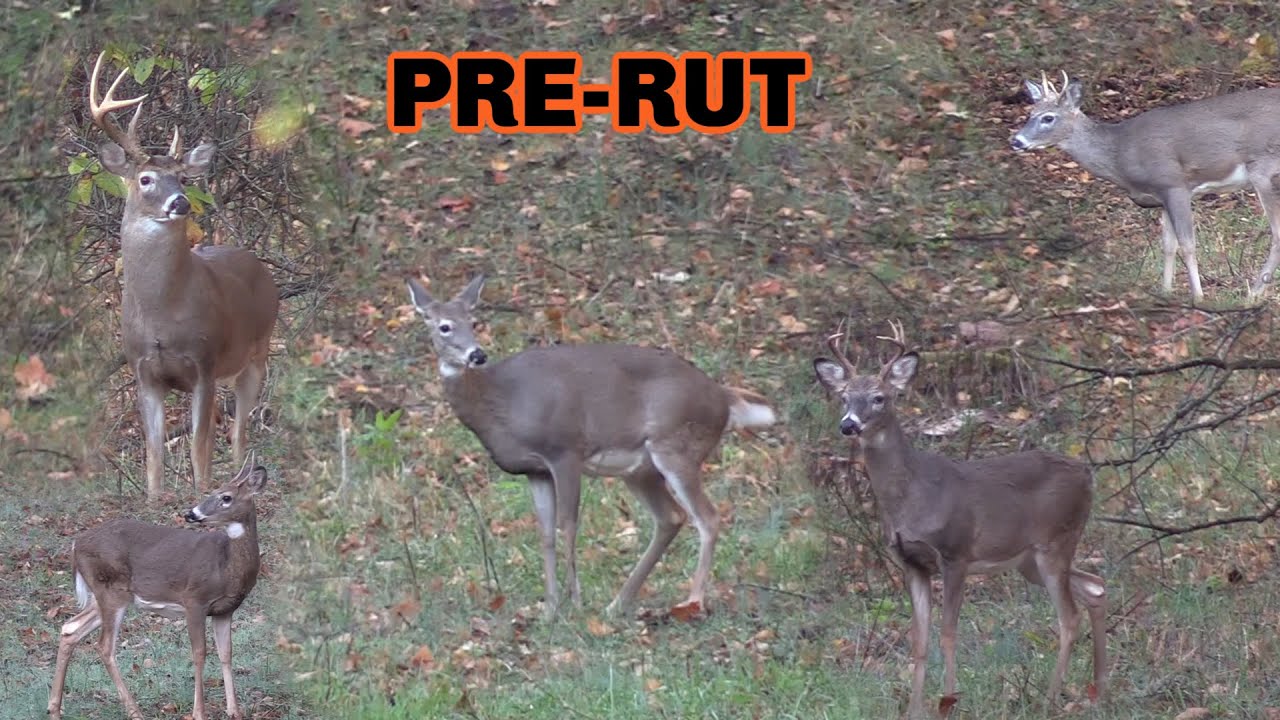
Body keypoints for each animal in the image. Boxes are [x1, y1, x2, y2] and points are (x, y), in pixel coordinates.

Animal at [47, 454, 270, 720]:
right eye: (215, 492)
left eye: (225, 497)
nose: (190, 513)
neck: (226, 566)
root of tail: (75, 544)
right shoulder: (194, 600)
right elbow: (199, 653)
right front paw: (199, 712)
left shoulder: (225, 609)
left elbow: (226, 653)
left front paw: (234, 711)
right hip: (111, 590)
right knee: (104, 646)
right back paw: (134, 711)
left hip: (106, 595)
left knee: (70, 628)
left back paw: (54, 709)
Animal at [87, 51, 279, 498]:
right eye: (145, 179)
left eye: (183, 178)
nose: (180, 203)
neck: (161, 315)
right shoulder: (142, 368)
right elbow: (154, 450)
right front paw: (154, 499)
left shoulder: (203, 362)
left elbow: (198, 444)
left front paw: (200, 493)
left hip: (258, 349)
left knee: (240, 430)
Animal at [406, 274, 777, 618]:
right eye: (444, 326)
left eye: (474, 321)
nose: (477, 354)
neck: (501, 401)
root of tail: (725, 400)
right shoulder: (535, 470)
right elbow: (545, 533)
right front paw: (550, 609)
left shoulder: (565, 449)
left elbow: (568, 525)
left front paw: (575, 603)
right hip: (641, 470)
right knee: (671, 517)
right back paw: (617, 604)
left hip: (677, 446)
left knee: (708, 518)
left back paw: (692, 601)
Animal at [813, 322, 1107, 718]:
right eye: (844, 397)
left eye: (879, 397)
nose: (848, 425)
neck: (911, 499)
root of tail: (1087, 473)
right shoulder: (911, 563)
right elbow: (919, 639)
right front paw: (913, 710)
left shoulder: (955, 554)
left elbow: (949, 633)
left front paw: (948, 702)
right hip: (1029, 560)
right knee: (1095, 586)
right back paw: (1099, 690)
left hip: (1056, 540)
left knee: (1069, 617)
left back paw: (1049, 700)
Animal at [1011, 71, 1280, 303]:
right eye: (1031, 112)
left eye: (1048, 117)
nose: (1016, 140)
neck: (1120, 153)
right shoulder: (1161, 197)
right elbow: (1168, 245)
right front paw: (1166, 292)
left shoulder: (1174, 184)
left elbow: (1187, 244)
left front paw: (1198, 297)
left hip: (1263, 169)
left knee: (1276, 233)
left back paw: (1254, 293)